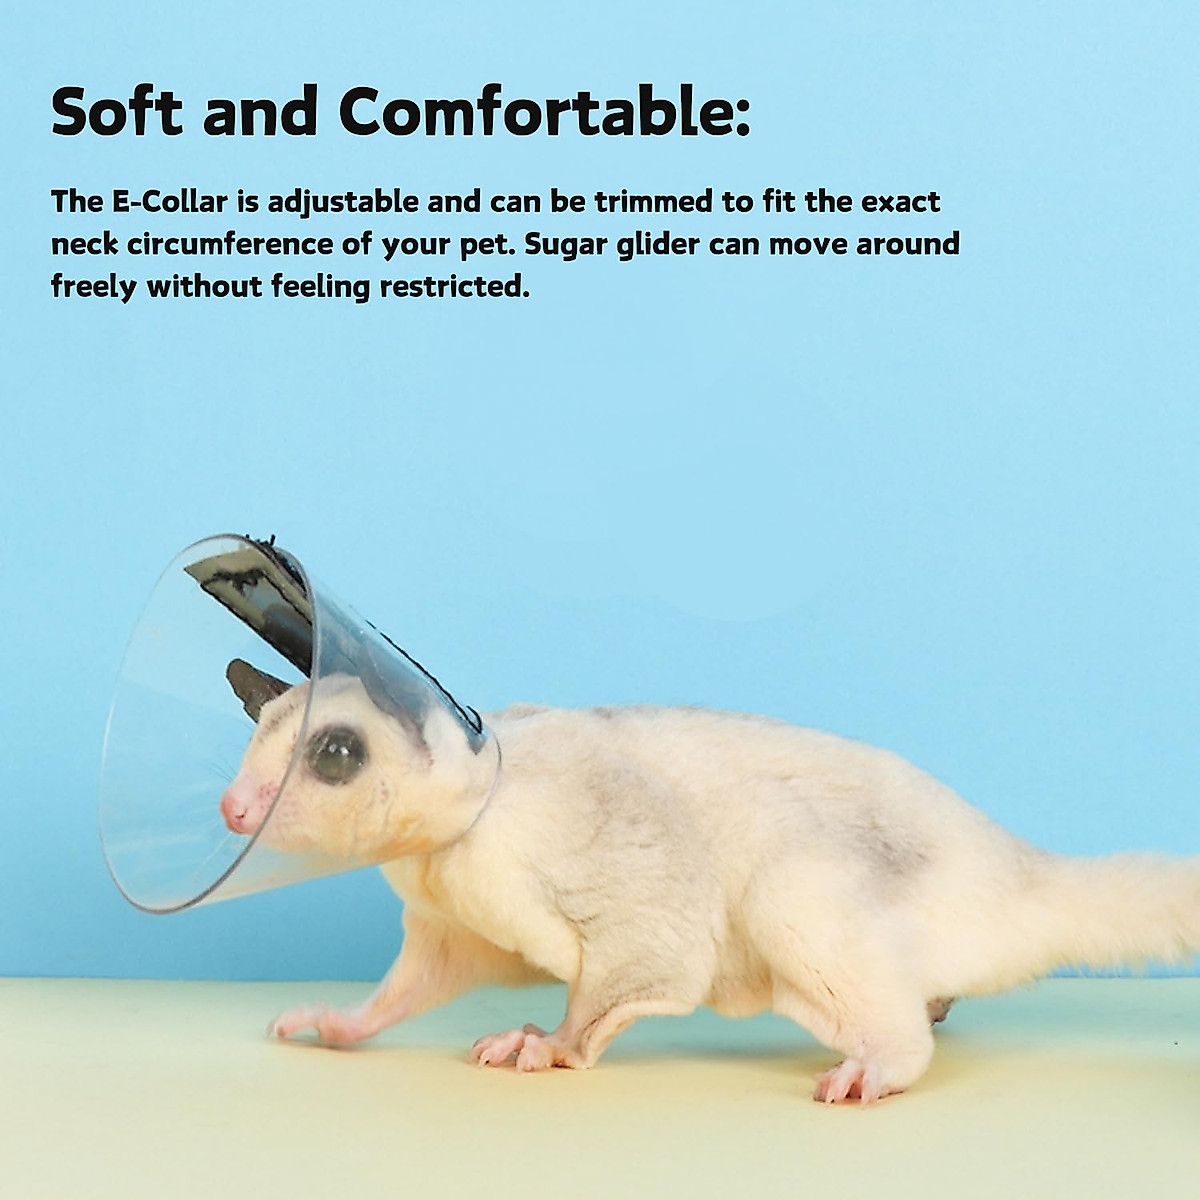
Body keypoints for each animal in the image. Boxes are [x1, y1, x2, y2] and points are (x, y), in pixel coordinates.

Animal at [219, 668, 1200, 1104]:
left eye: (334, 753)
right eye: (260, 730)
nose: (233, 809)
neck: (443, 842)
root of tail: (1013, 867)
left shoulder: (574, 828)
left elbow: (651, 950)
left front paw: (553, 1043)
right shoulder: (453, 914)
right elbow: (417, 983)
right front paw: (339, 1023)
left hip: (798, 897)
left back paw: (881, 1062)